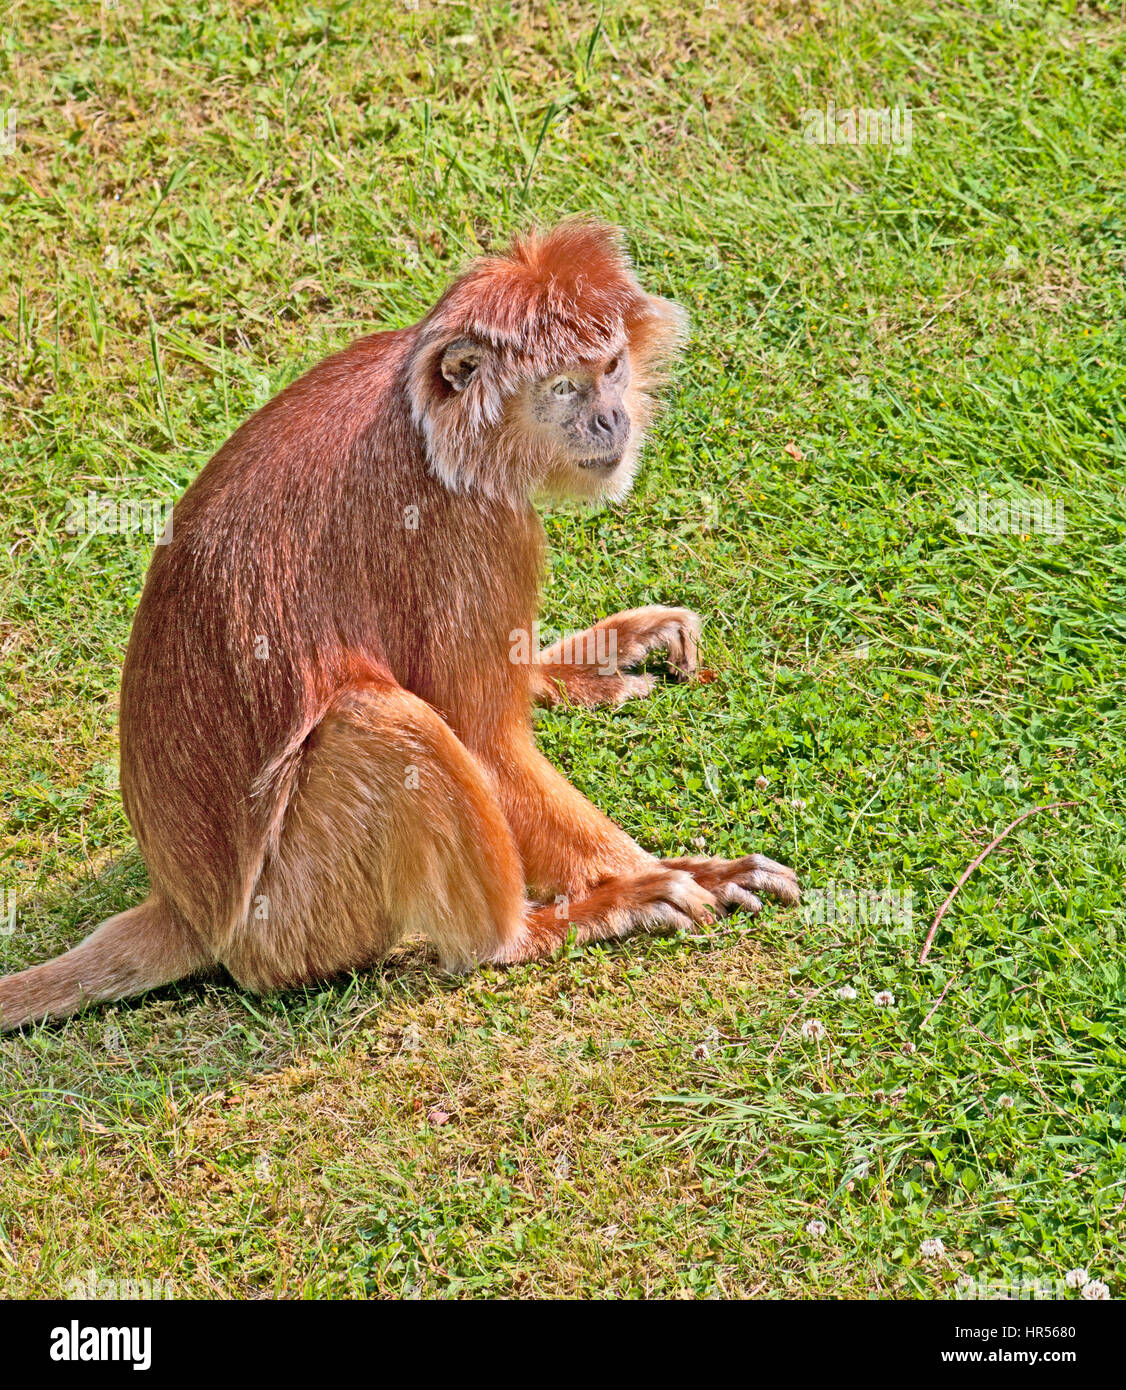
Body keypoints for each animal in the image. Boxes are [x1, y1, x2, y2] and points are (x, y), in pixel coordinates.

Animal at [0, 221, 798, 1031]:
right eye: (563, 388)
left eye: (611, 368)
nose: (613, 417)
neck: (431, 424)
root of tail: (187, 910)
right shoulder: (467, 526)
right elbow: (482, 738)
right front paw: (671, 872)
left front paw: (584, 664)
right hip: (296, 919)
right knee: (385, 720)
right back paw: (531, 930)